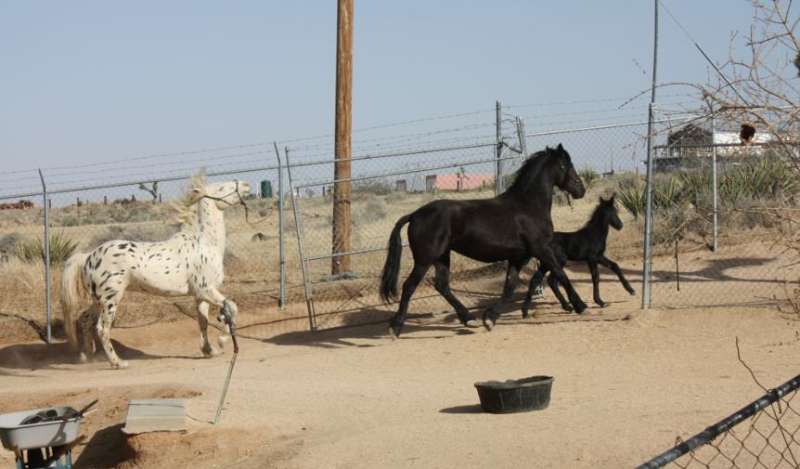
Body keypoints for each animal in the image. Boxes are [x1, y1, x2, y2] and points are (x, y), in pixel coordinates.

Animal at [59, 172, 251, 368]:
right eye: (221, 188)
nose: (246, 184)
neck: (204, 243)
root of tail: (88, 256)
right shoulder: (206, 290)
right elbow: (232, 307)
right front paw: (222, 340)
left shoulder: (200, 295)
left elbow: (203, 322)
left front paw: (209, 350)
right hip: (110, 299)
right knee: (102, 328)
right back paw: (117, 362)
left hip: (98, 300)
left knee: (84, 320)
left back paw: (87, 356)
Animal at [379, 144, 587, 338]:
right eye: (564, 165)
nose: (581, 189)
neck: (528, 206)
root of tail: (414, 215)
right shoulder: (541, 249)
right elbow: (561, 274)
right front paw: (580, 305)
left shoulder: (519, 257)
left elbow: (509, 288)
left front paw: (490, 319)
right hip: (425, 259)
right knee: (409, 286)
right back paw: (395, 328)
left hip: (442, 256)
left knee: (442, 285)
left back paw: (468, 319)